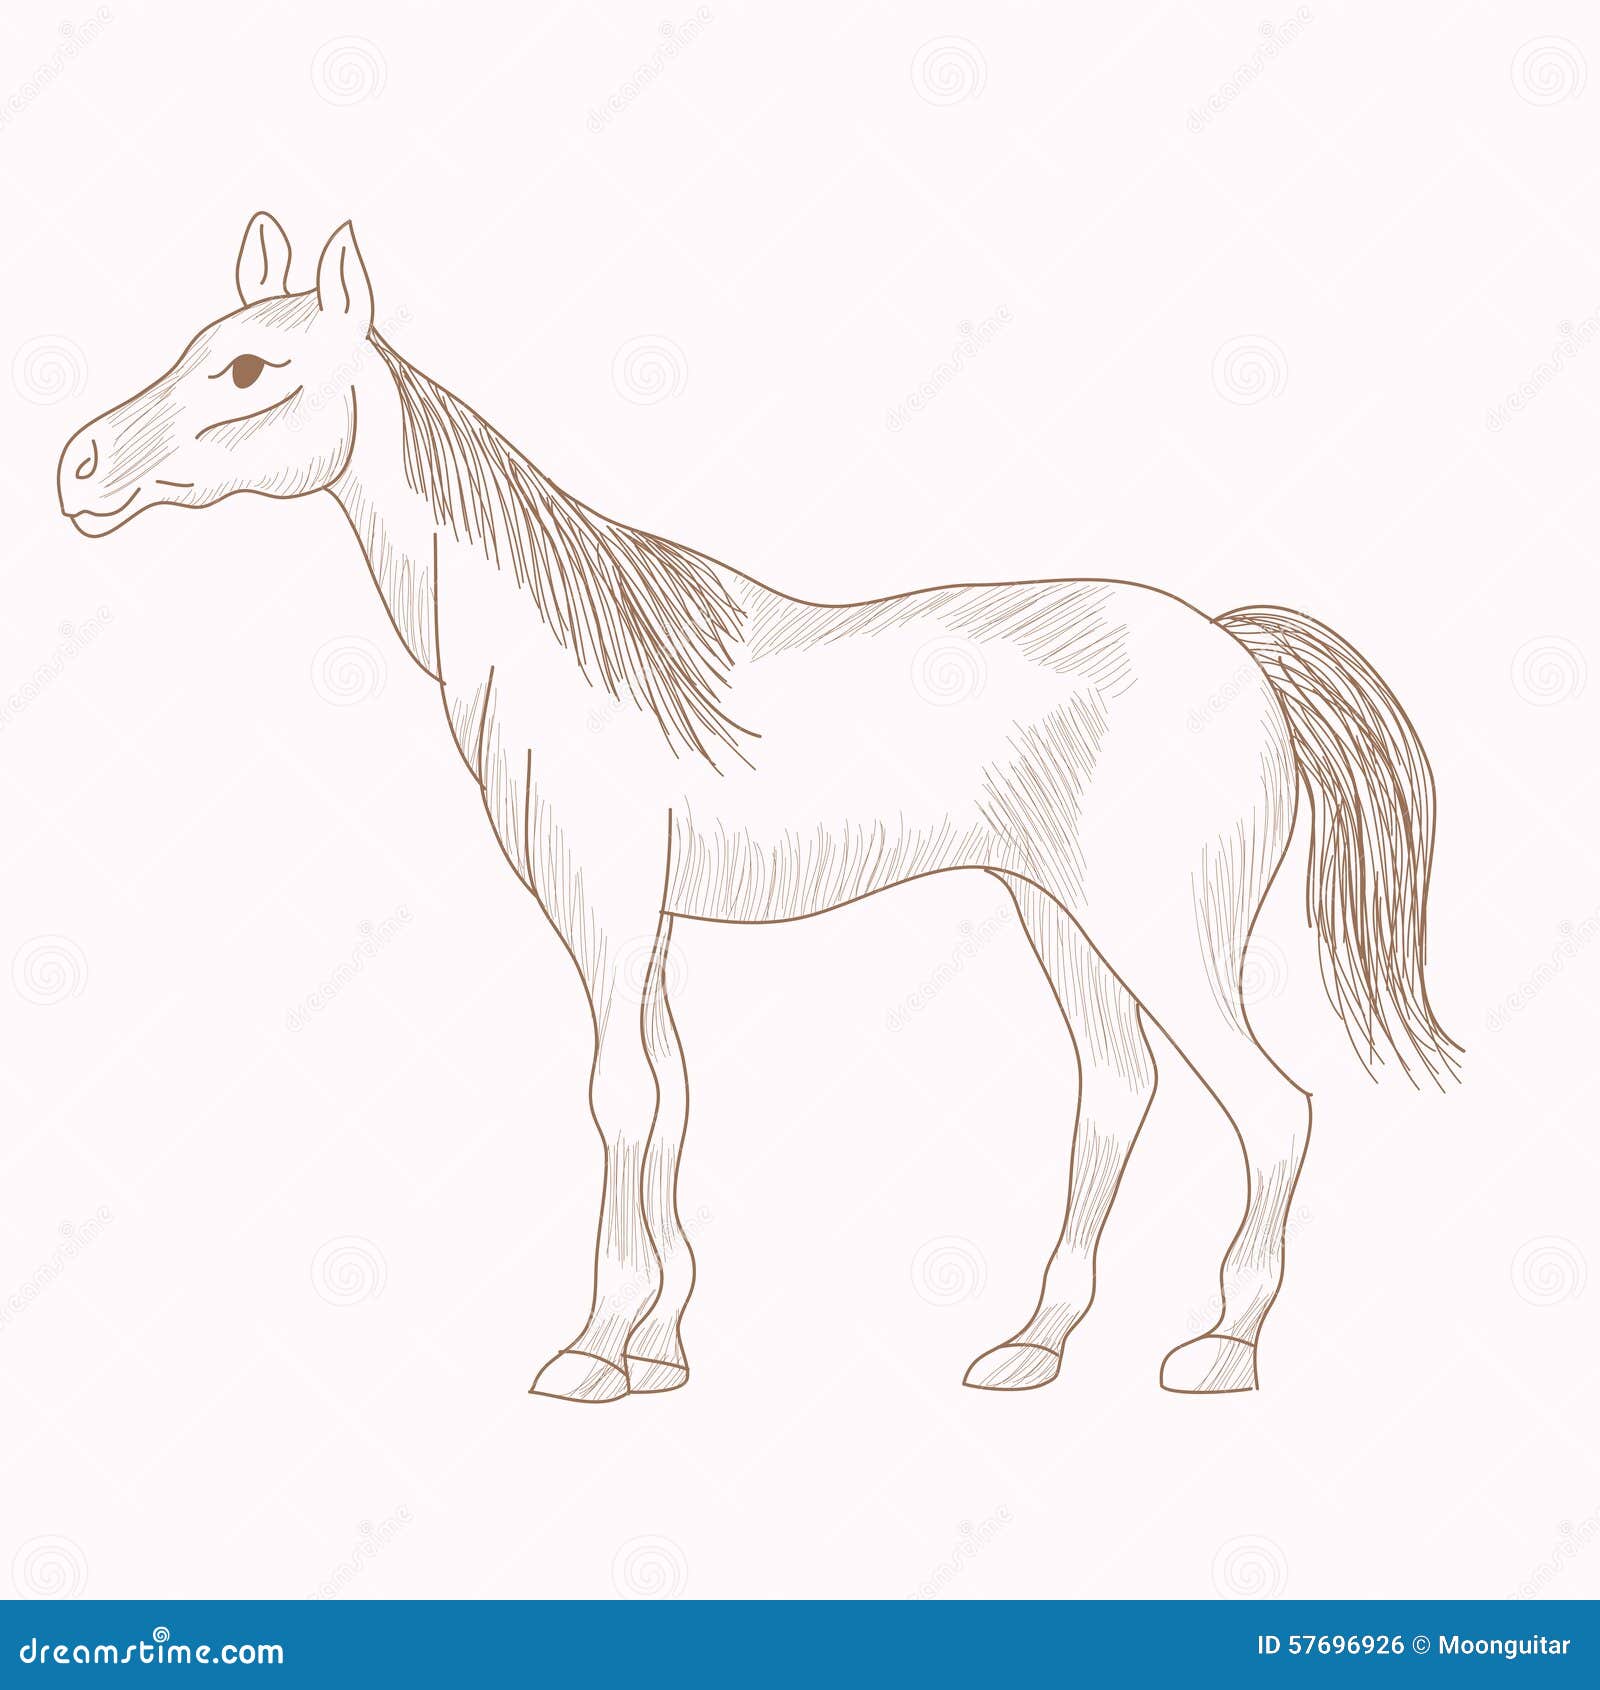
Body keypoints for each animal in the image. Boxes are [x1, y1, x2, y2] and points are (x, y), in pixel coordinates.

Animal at [57, 214, 1459, 1402]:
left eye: (251, 367)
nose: (76, 469)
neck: (576, 654)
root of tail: (1233, 645)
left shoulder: (607, 908)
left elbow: (621, 1099)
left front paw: (591, 1350)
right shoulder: (649, 927)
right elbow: (671, 1100)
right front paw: (660, 1348)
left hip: (1163, 932)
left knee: (1273, 1108)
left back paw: (1221, 1348)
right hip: (1058, 916)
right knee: (1115, 1091)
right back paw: (1033, 1345)